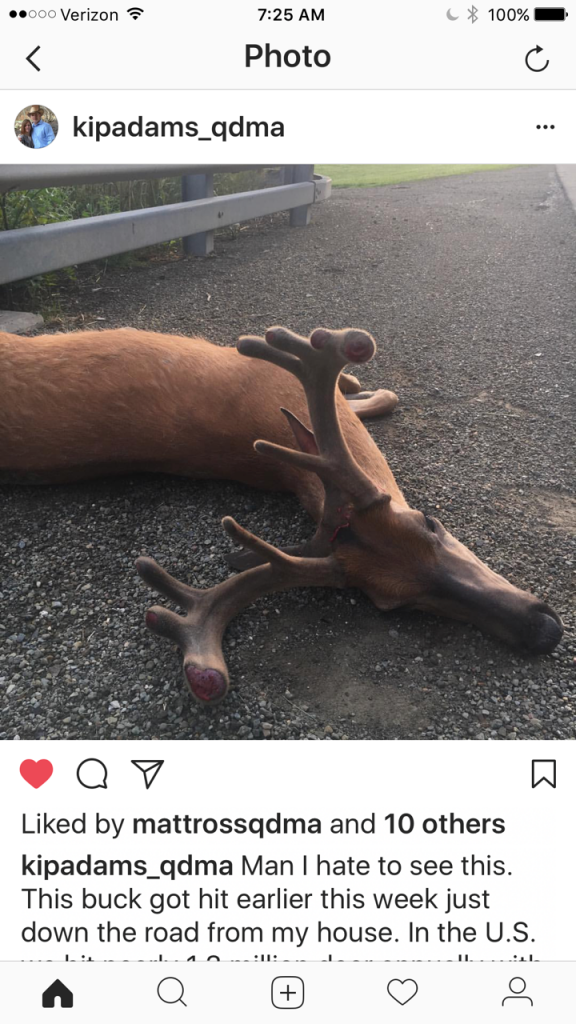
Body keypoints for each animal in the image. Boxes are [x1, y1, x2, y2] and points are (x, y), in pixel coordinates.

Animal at [0, 324, 563, 704]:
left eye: (431, 522)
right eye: (394, 606)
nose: (545, 631)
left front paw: (357, 382)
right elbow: (383, 394)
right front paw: (359, 380)